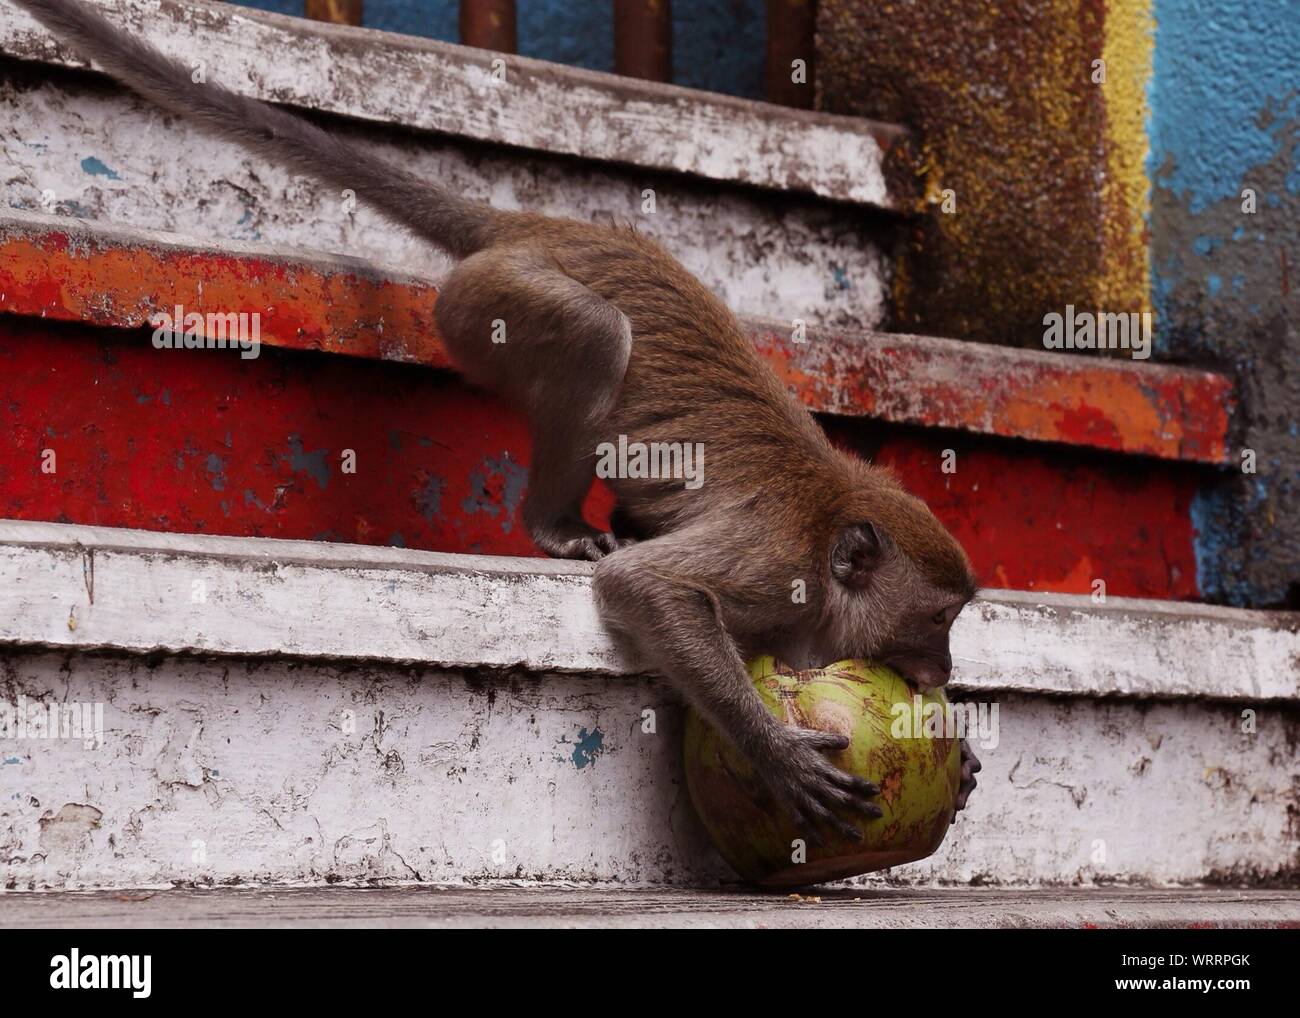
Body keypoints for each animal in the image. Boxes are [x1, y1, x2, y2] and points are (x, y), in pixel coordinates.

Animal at [9, 0, 980, 843]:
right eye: (938, 620)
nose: (946, 672)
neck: (830, 523)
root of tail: (524, 224)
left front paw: (963, 766)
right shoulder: (773, 566)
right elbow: (652, 591)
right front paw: (775, 755)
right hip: (489, 303)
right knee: (596, 334)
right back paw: (554, 524)